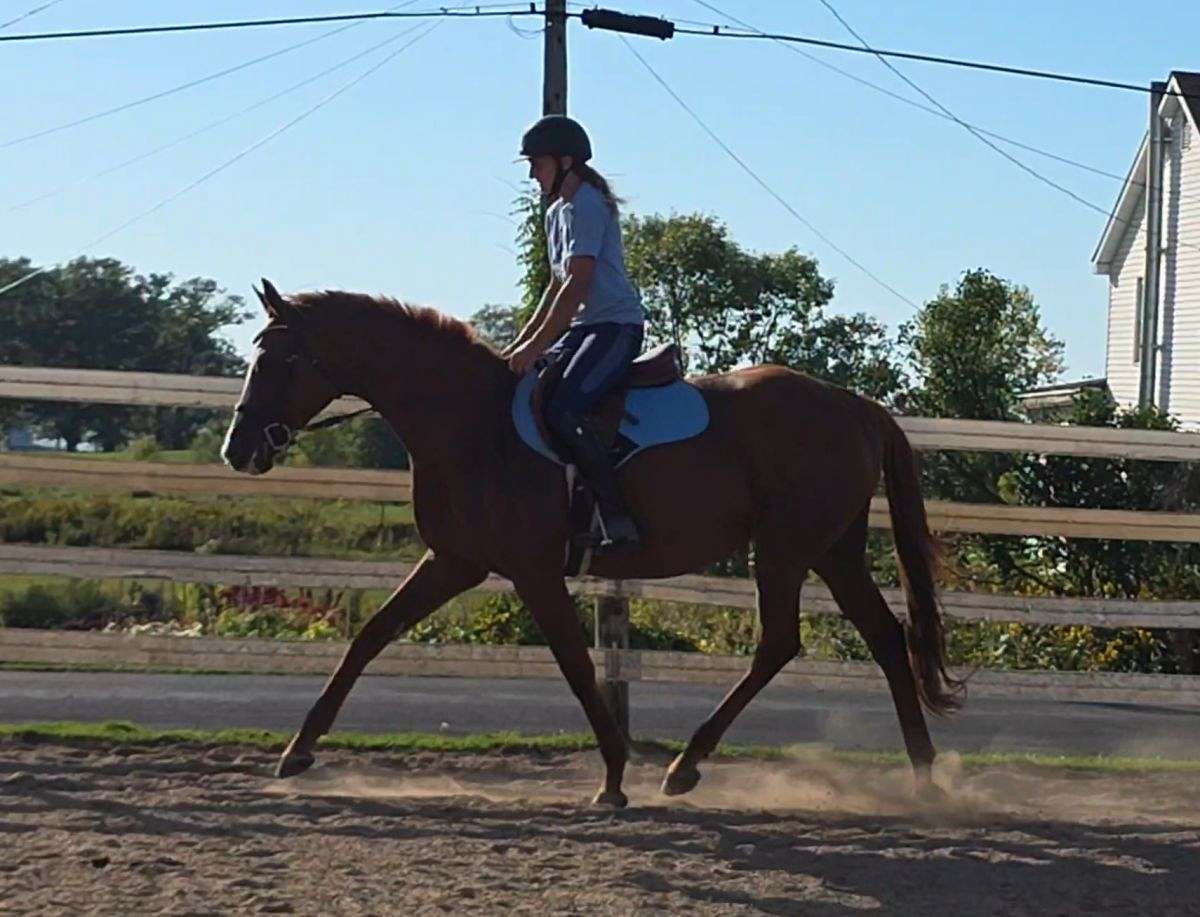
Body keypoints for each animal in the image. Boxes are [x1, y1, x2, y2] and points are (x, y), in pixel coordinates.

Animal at [222, 279, 963, 807]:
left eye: (283, 359)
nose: (238, 449)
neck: (471, 423)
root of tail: (856, 404)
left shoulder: (533, 573)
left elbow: (577, 667)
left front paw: (611, 776)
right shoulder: (456, 562)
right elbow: (370, 635)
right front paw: (298, 750)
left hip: (785, 549)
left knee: (779, 643)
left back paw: (684, 766)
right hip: (831, 551)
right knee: (885, 637)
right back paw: (924, 777)